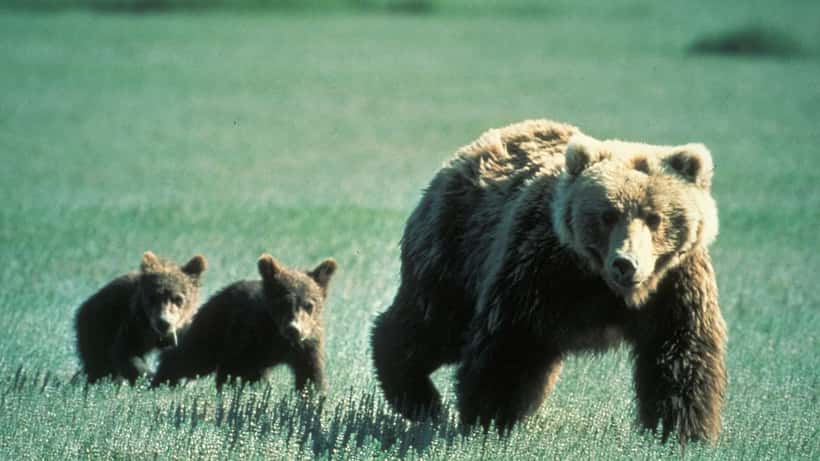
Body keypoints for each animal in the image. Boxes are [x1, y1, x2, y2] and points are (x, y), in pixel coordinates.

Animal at [75, 251, 207, 384]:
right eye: (153, 297)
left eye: (178, 298)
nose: (163, 322)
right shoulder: (135, 324)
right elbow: (126, 353)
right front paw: (150, 378)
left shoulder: (186, 329)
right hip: (98, 325)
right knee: (99, 364)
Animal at [152, 254, 337, 392]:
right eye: (283, 303)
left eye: (309, 304)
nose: (294, 329)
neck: (278, 336)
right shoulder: (249, 335)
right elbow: (235, 370)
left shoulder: (308, 344)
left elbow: (310, 375)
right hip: (214, 326)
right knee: (193, 355)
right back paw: (161, 381)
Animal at [371, 119, 727, 445]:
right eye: (608, 214)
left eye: (655, 217)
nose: (626, 263)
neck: (606, 289)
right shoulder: (540, 270)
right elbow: (512, 342)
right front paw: (489, 420)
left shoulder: (676, 286)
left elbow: (680, 356)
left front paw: (680, 432)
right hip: (456, 249)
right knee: (429, 324)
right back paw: (420, 399)